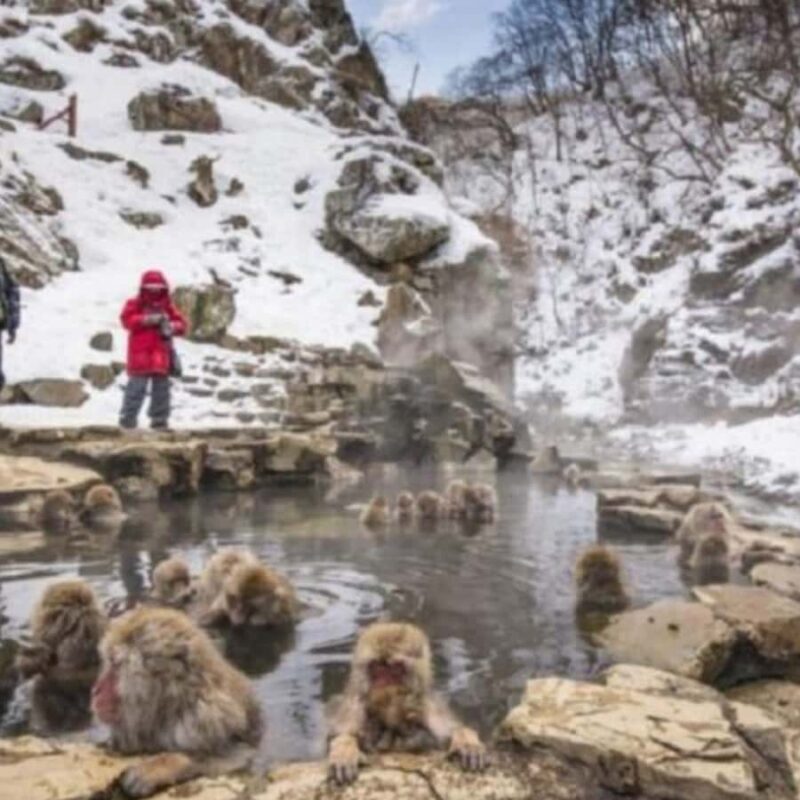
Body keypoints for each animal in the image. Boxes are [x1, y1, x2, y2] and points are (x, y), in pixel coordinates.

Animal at [91, 607, 263, 798]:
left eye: (115, 666)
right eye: (110, 663)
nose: (95, 691)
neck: (168, 708)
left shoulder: (209, 718)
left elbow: (240, 756)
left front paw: (161, 767)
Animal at [327, 622, 488, 785]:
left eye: (395, 668)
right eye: (377, 667)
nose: (382, 684)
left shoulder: (430, 707)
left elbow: (447, 734)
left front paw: (466, 742)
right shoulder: (354, 706)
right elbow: (339, 735)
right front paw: (344, 748)